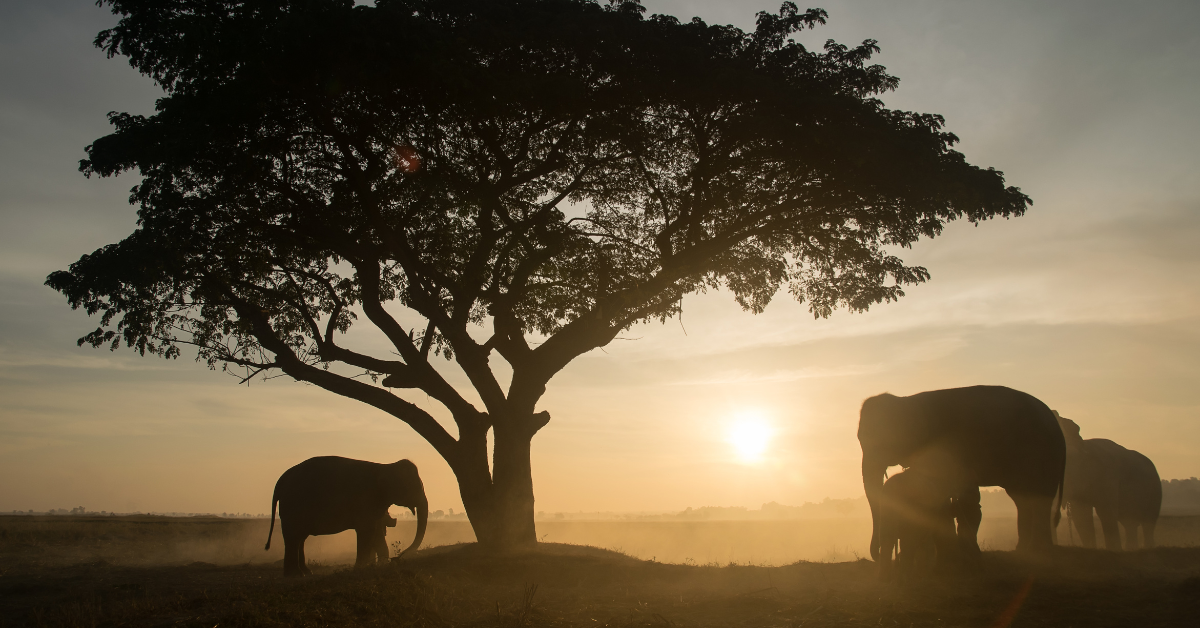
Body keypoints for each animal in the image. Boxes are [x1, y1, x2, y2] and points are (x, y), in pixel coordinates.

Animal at [264, 457, 428, 576]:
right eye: (415, 487)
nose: (396, 558)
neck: (385, 467)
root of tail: (281, 480)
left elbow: (375, 532)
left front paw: (375, 566)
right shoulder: (365, 501)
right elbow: (367, 531)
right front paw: (360, 569)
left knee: (299, 538)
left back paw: (305, 573)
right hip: (292, 506)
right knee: (293, 537)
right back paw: (295, 575)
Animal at [859, 385, 1065, 564]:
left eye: (881, 441)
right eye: (860, 439)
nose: (876, 555)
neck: (907, 400)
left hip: (1044, 452)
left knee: (1040, 497)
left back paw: (1040, 551)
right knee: (1021, 498)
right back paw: (1023, 551)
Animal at [1057, 413, 1162, 550]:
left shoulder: (1108, 477)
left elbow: (1105, 513)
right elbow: (1081, 516)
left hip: (1155, 490)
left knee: (1148, 523)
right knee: (1129, 523)